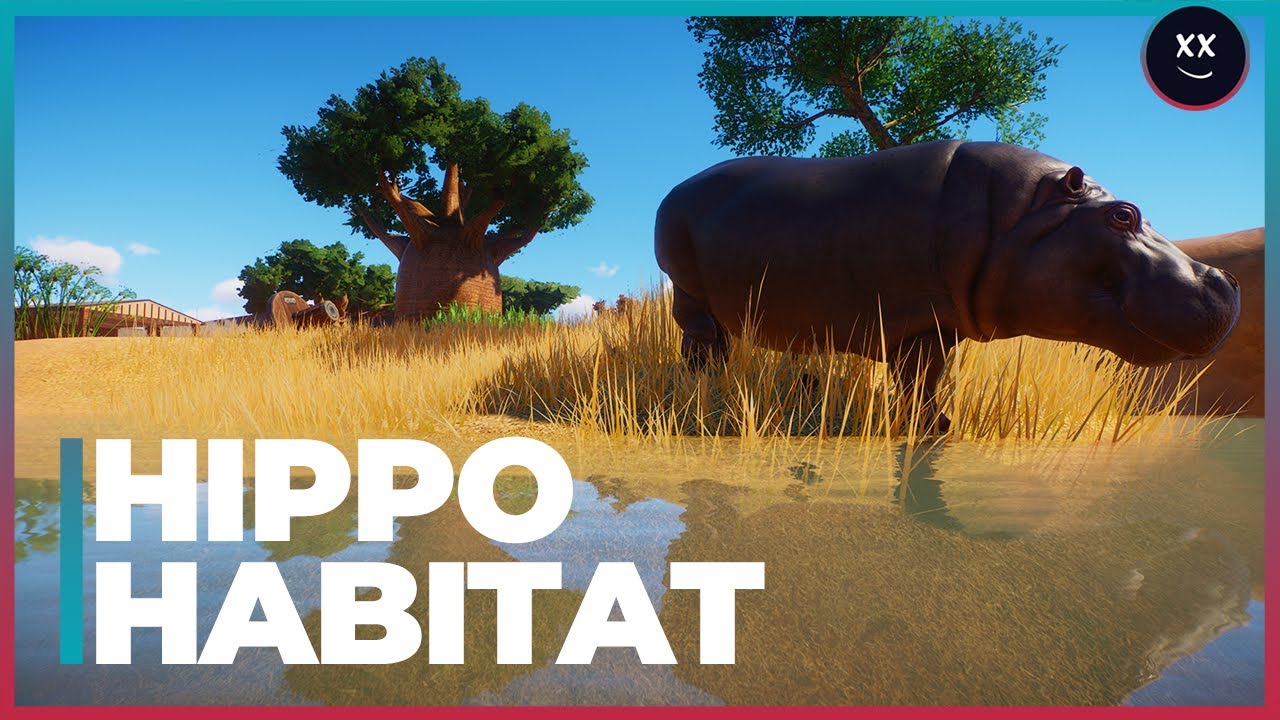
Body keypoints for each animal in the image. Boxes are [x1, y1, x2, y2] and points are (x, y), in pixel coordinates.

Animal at [654, 140, 1241, 431]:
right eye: (1124, 215)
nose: (1224, 280)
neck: (1021, 214)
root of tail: (674, 190)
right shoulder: (920, 322)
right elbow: (920, 383)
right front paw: (935, 428)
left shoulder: (944, 326)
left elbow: (932, 380)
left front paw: (939, 423)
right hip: (688, 292)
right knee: (702, 342)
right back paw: (702, 392)